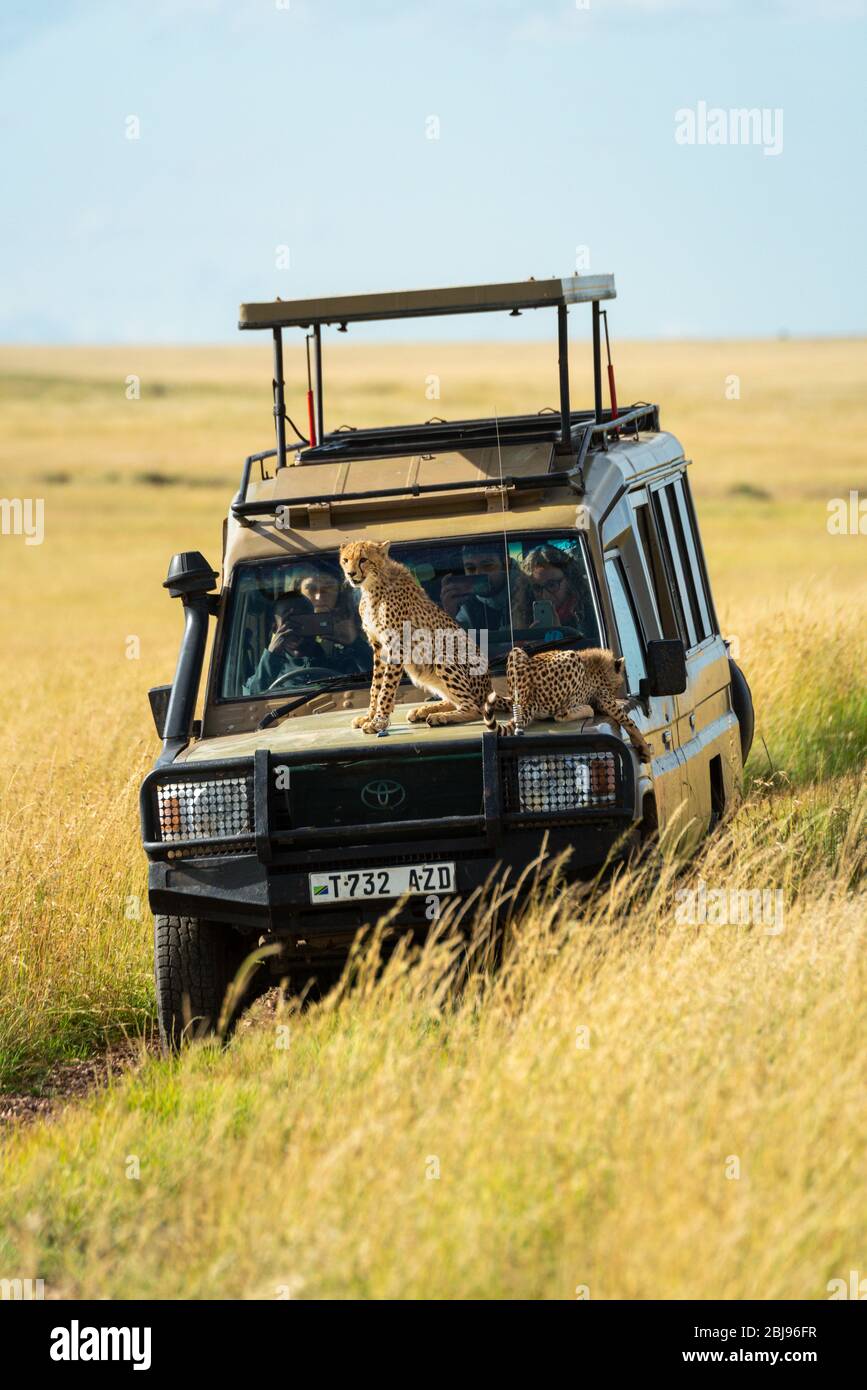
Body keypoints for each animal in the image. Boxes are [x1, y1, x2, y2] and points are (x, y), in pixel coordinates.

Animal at [339, 540, 510, 734]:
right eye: (345, 560)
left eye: (363, 560)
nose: (350, 574)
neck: (372, 586)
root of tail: (489, 688)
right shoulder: (378, 647)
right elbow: (376, 686)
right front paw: (369, 717)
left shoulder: (397, 645)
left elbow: (386, 688)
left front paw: (378, 722)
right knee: (457, 701)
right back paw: (424, 710)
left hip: (443, 656)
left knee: (474, 707)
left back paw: (440, 717)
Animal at [483, 645, 652, 760]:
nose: (618, 692)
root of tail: (528, 698)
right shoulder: (605, 699)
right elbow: (627, 720)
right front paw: (644, 747)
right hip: (572, 657)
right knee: (560, 715)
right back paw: (587, 709)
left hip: (516, 652)